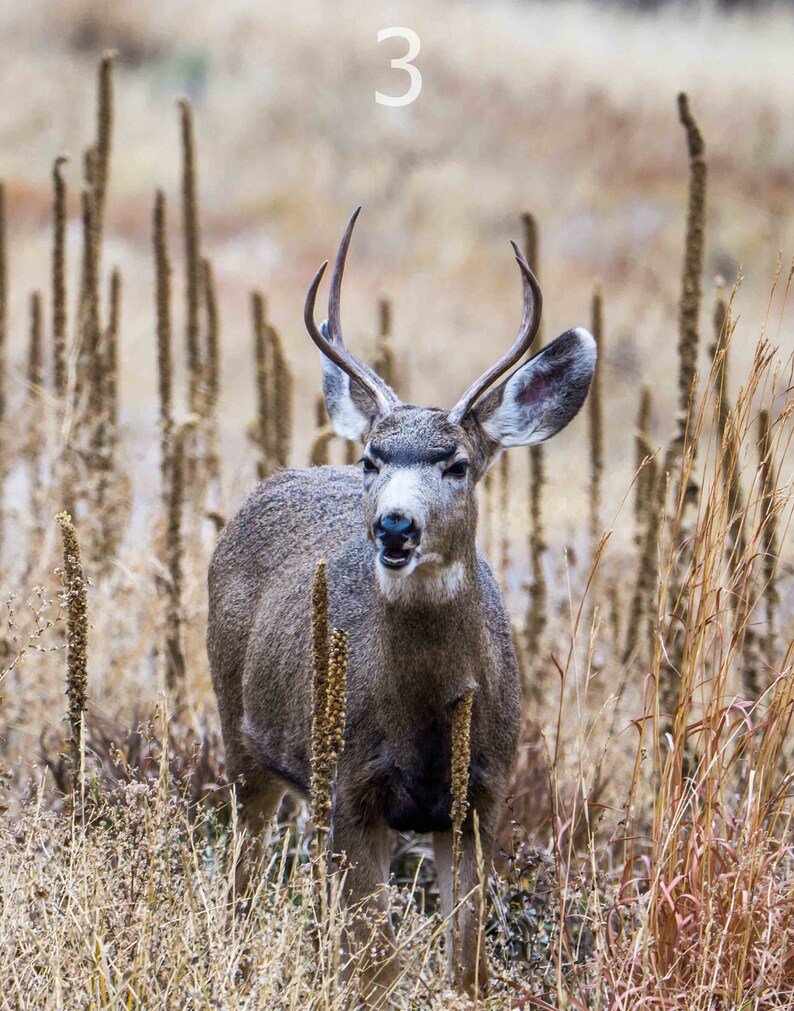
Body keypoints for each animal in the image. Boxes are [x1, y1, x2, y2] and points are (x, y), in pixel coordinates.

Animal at [207, 208, 596, 1004]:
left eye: (458, 464)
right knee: (243, 867)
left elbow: (467, 963)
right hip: (243, 734)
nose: (394, 525)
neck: (423, 716)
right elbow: (378, 969)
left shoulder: (483, 794)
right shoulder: (354, 783)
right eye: (372, 459)